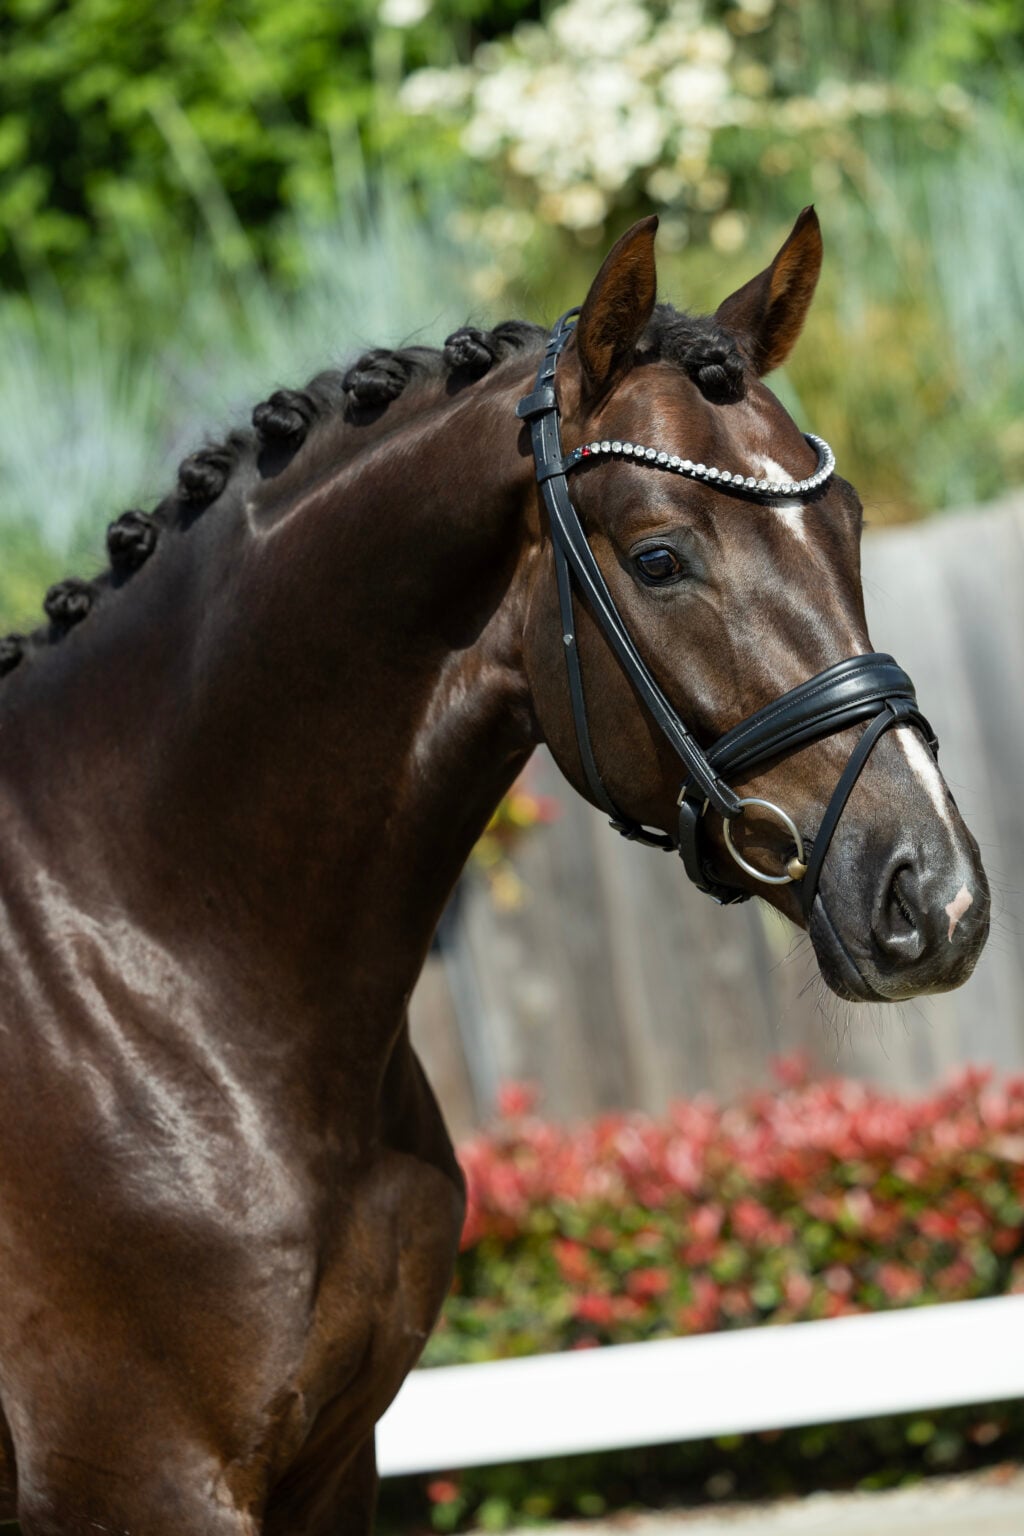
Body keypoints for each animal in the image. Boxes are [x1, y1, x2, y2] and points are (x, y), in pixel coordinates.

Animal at [0, 208, 988, 1536]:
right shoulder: (145, 1480)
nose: (932, 896)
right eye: (660, 559)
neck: (148, 958)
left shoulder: (332, 1468)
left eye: (849, 527)